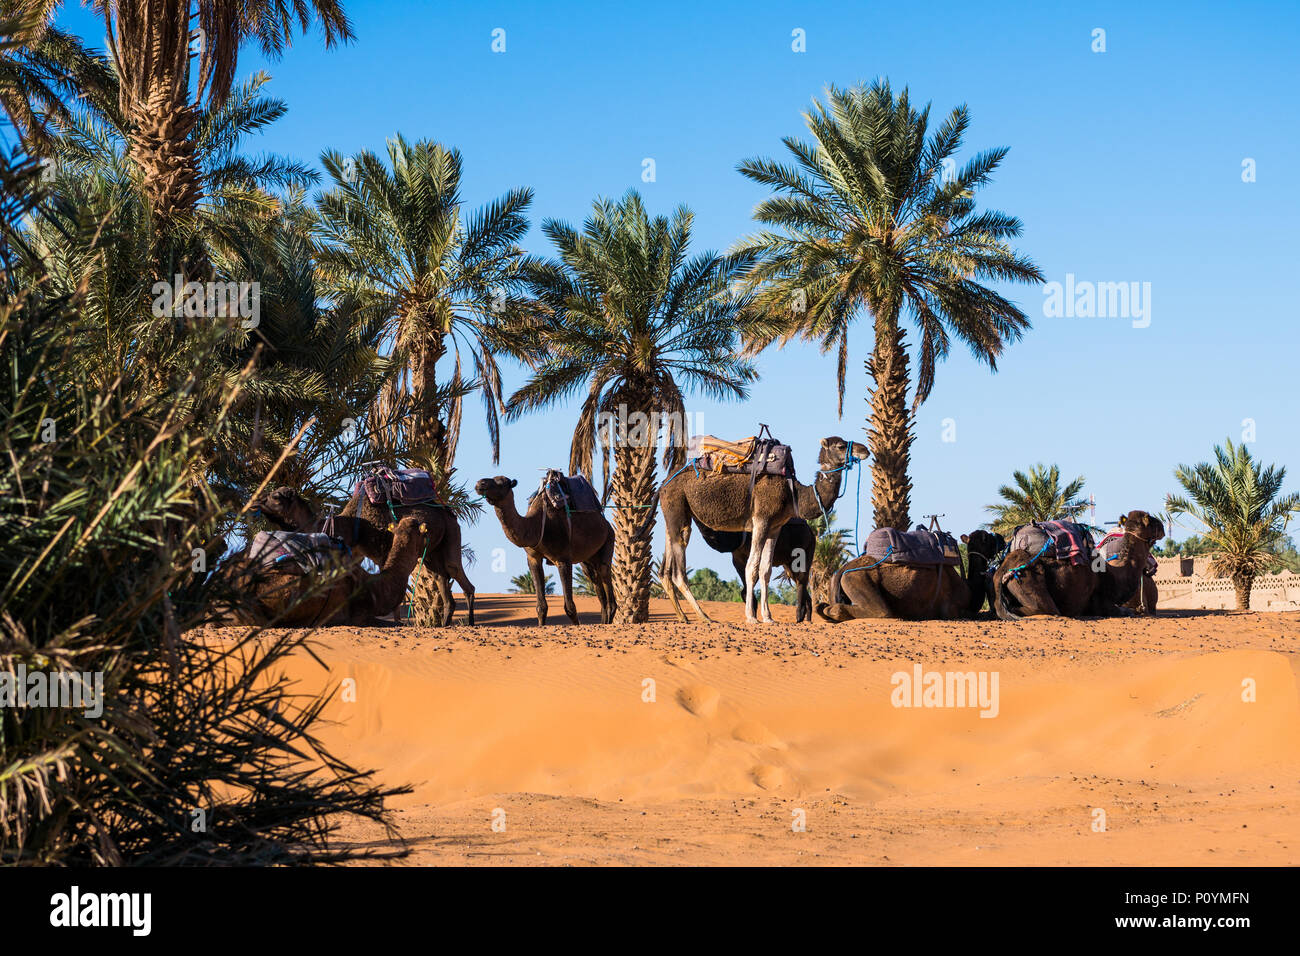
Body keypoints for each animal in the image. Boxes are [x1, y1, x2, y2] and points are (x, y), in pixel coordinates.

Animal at [252, 484, 475, 625]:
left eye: (276, 496)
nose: (255, 502)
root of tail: (448, 512)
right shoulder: (356, 555)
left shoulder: (380, 549)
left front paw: (399, 622)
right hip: (431, 554)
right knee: (441, 576)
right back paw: (444, 623)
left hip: (452, 534)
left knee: (457, 573)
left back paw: (470, 623)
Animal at [475, 471, 616, 625]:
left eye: (501, 483)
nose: (480, 483)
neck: (535, 525)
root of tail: (606, 524)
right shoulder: (533, 558)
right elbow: (541, 607)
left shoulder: (563, 559)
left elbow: (569, 607)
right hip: (588, 560)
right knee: (598, 588)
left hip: (609, 539)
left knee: (606, 581)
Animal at [660, 436, 868, 624]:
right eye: (840, 446)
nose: (865, 450)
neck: (793, 493)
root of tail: (664, 483)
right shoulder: (761, 519)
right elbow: (752, 568)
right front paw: (751, 617)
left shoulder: (775, 527)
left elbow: (765, 570)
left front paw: (768, 617)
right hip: (677, 506)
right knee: (678, 569)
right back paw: (704, 617)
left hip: (675, 515)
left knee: (665, 566)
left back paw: (683, 616)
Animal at [815, 527, 1004, 621]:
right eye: (989, 538)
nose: (1002, 538)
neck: (970, 588)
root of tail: (842, 570)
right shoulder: (951, 610)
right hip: (857, 578)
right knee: (881, 612)